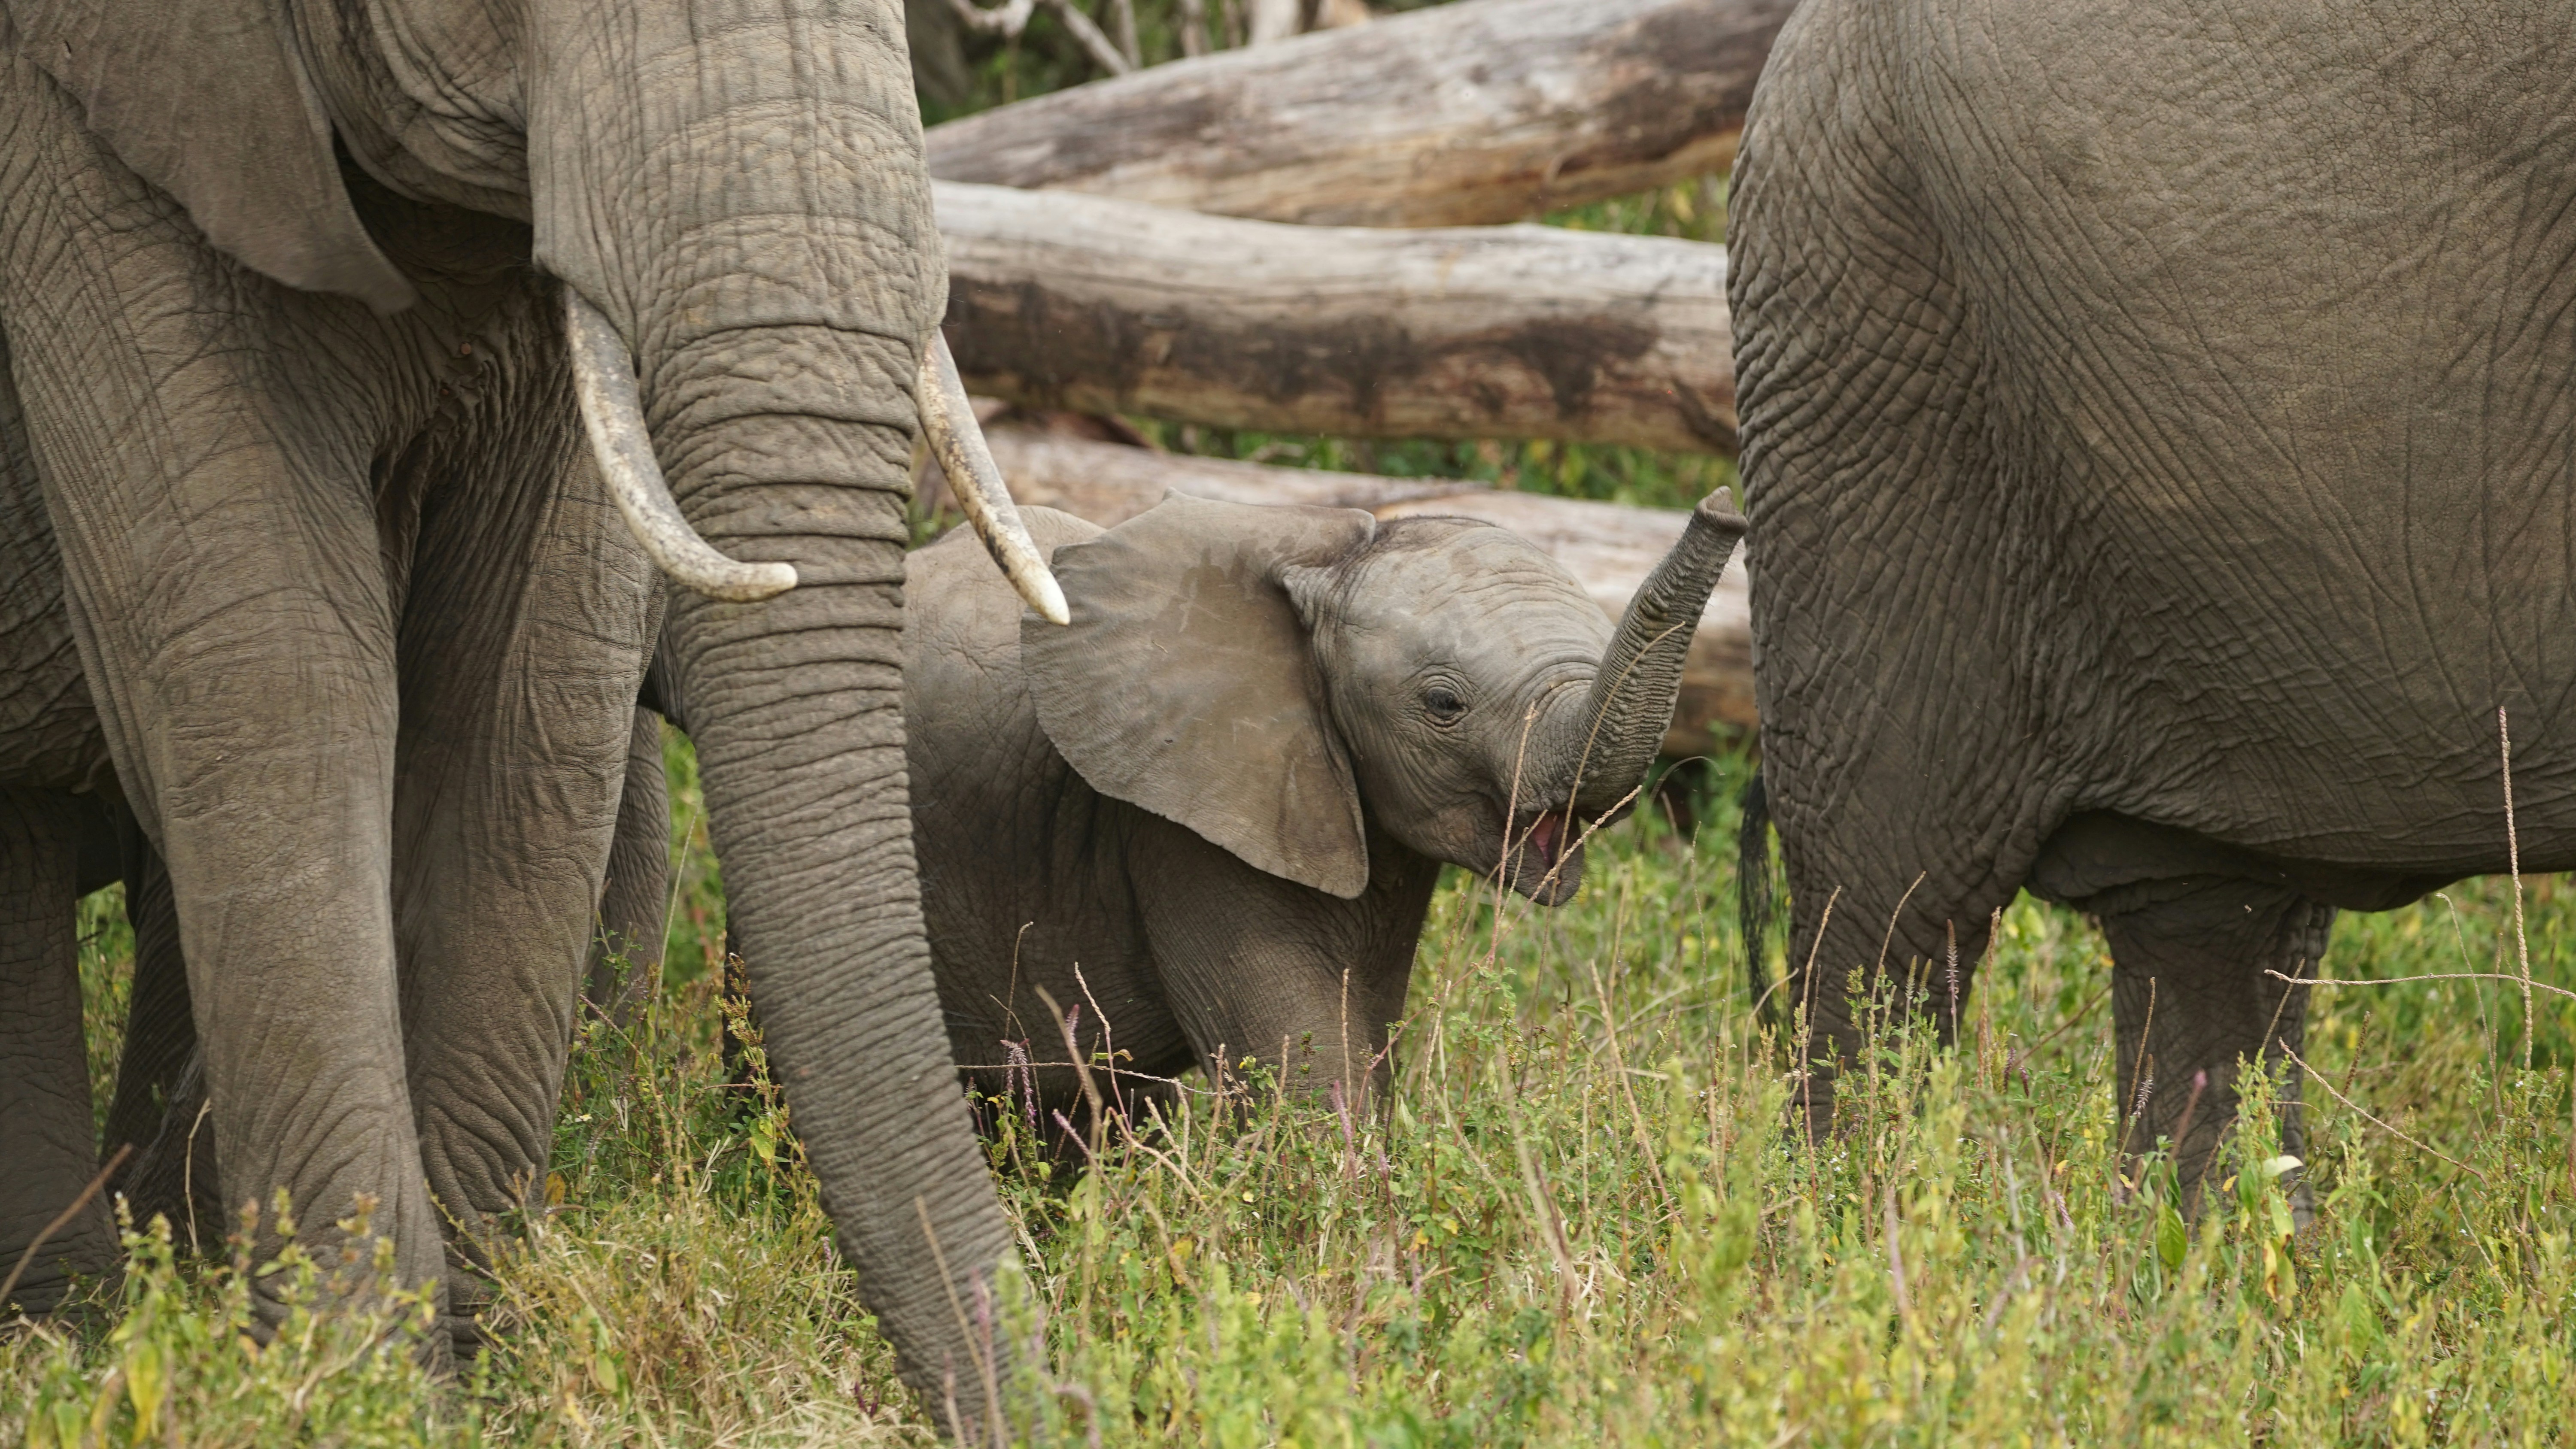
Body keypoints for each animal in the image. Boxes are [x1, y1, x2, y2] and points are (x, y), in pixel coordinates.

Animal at [0, 0, 1071, 1416]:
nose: (1070, 1400)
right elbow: (272, 672)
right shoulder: (77, 148)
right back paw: (72, 1327)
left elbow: (531, 690)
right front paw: (356, 1397)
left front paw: (448, 1371)